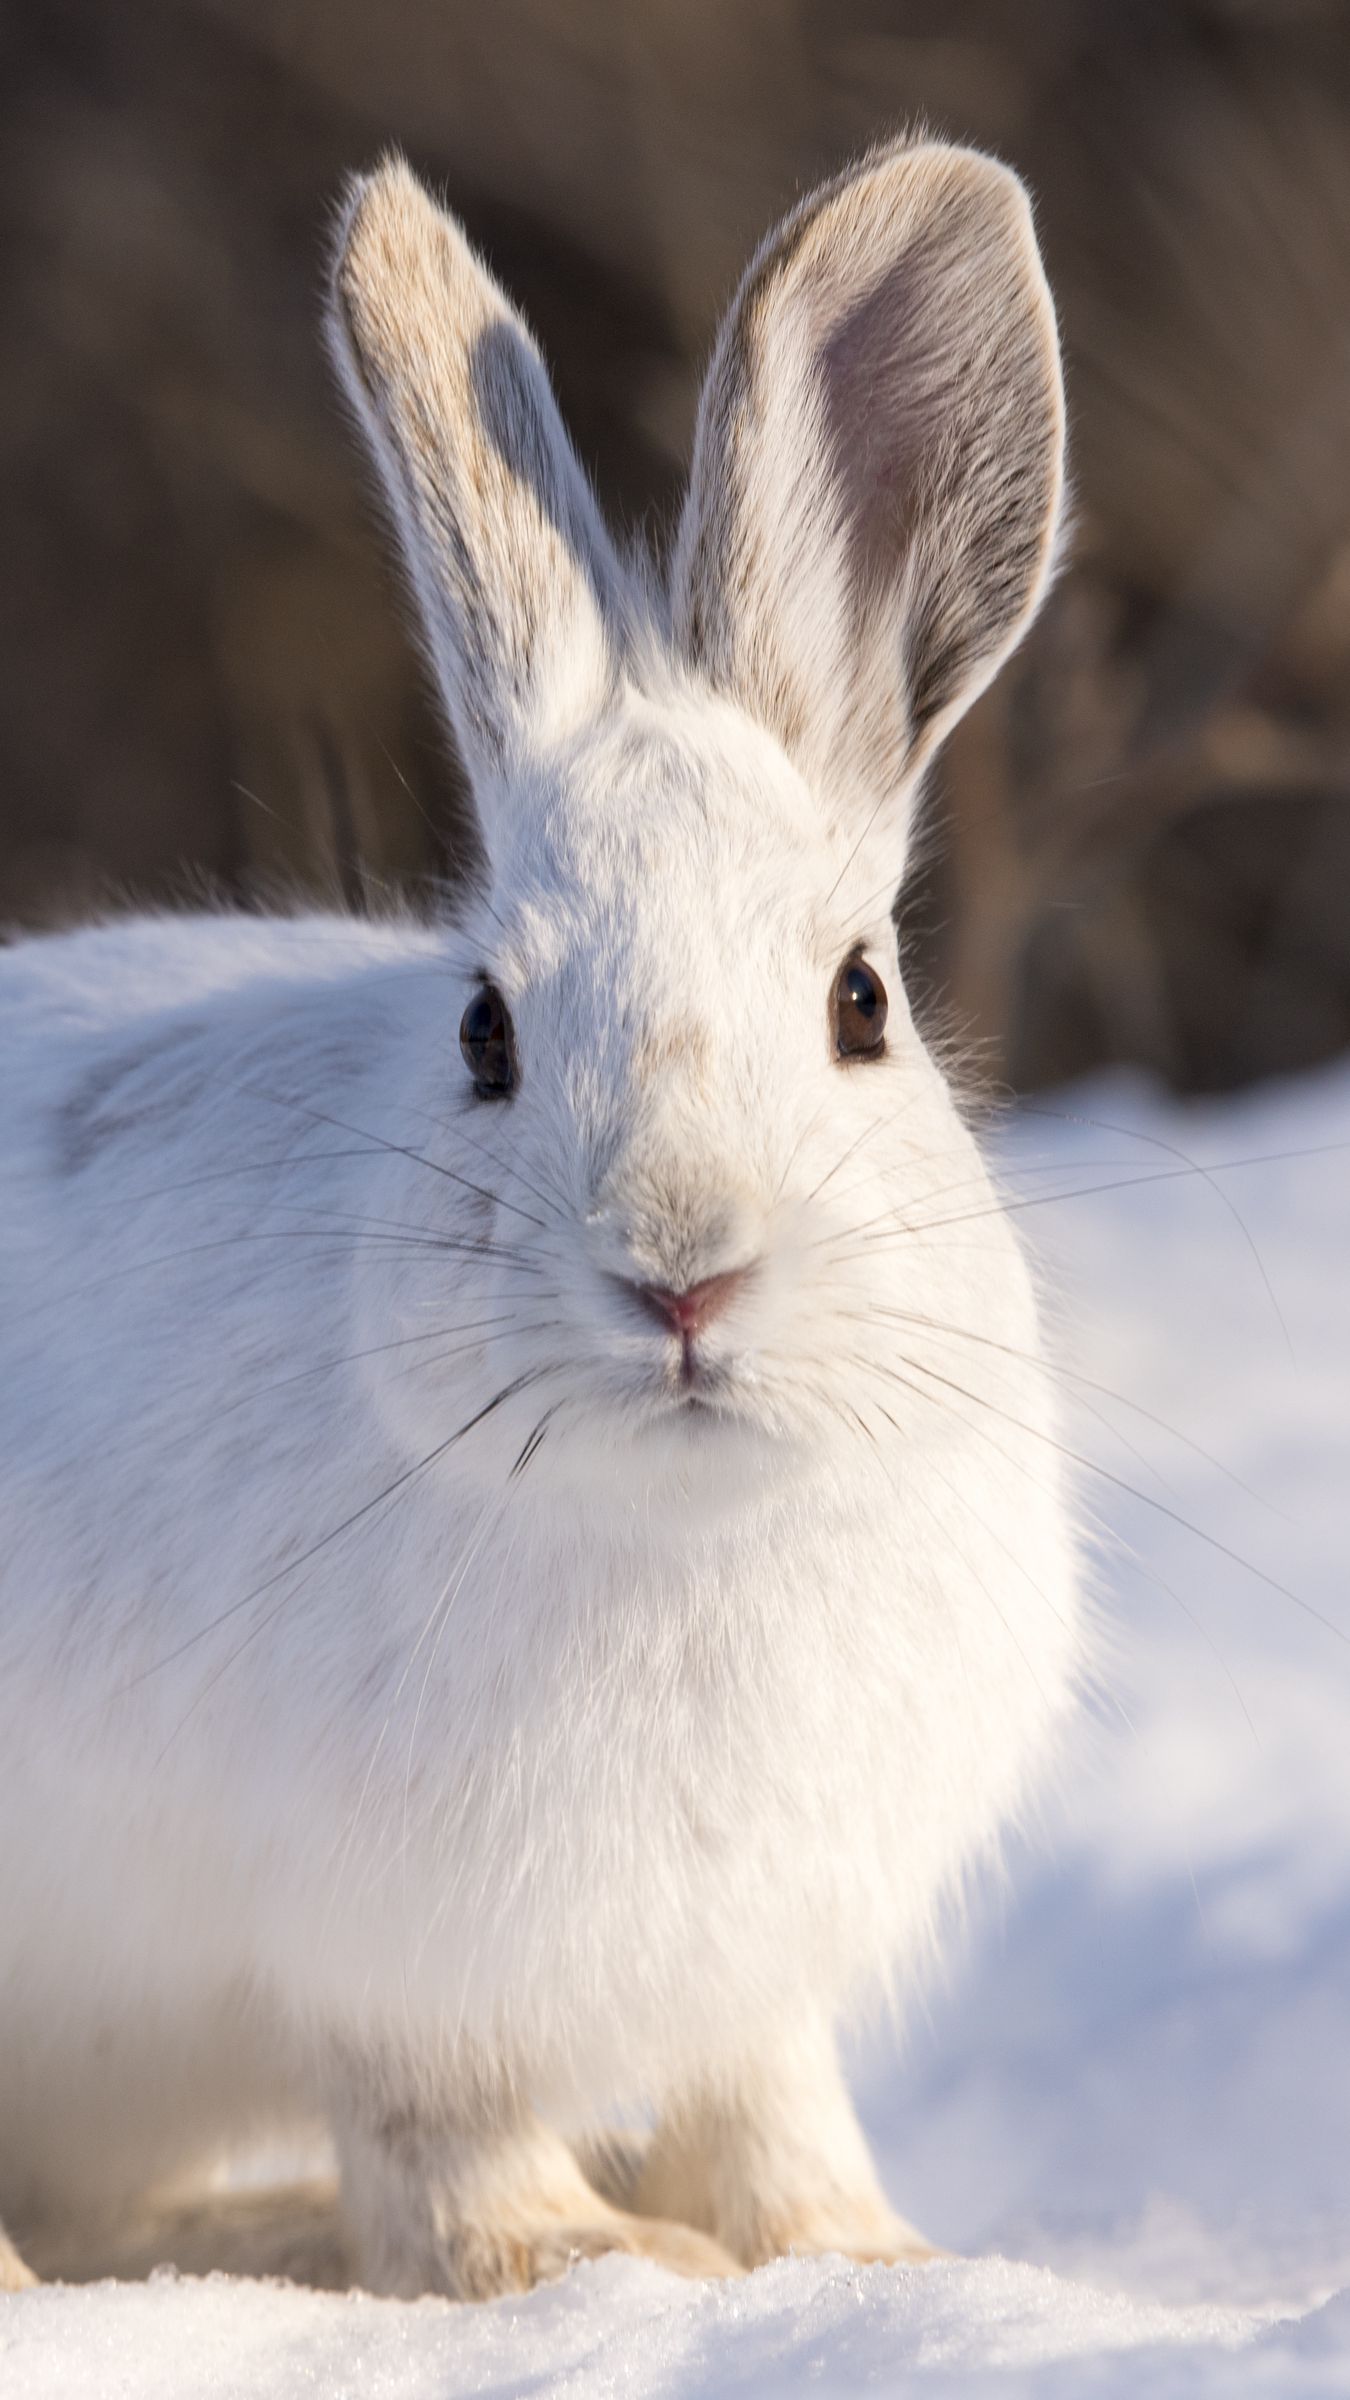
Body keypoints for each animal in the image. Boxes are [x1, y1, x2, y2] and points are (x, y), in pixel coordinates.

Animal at [0, 136, 1080, 2302]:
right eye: (486, 1029)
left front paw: (862, 2260)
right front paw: (590, 2270)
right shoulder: (398, 1975)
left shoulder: (757, 1975)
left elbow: (775, 2109)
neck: (687, 1530)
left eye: (863, 1002)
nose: (683, 1273)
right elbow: (447, 2149)